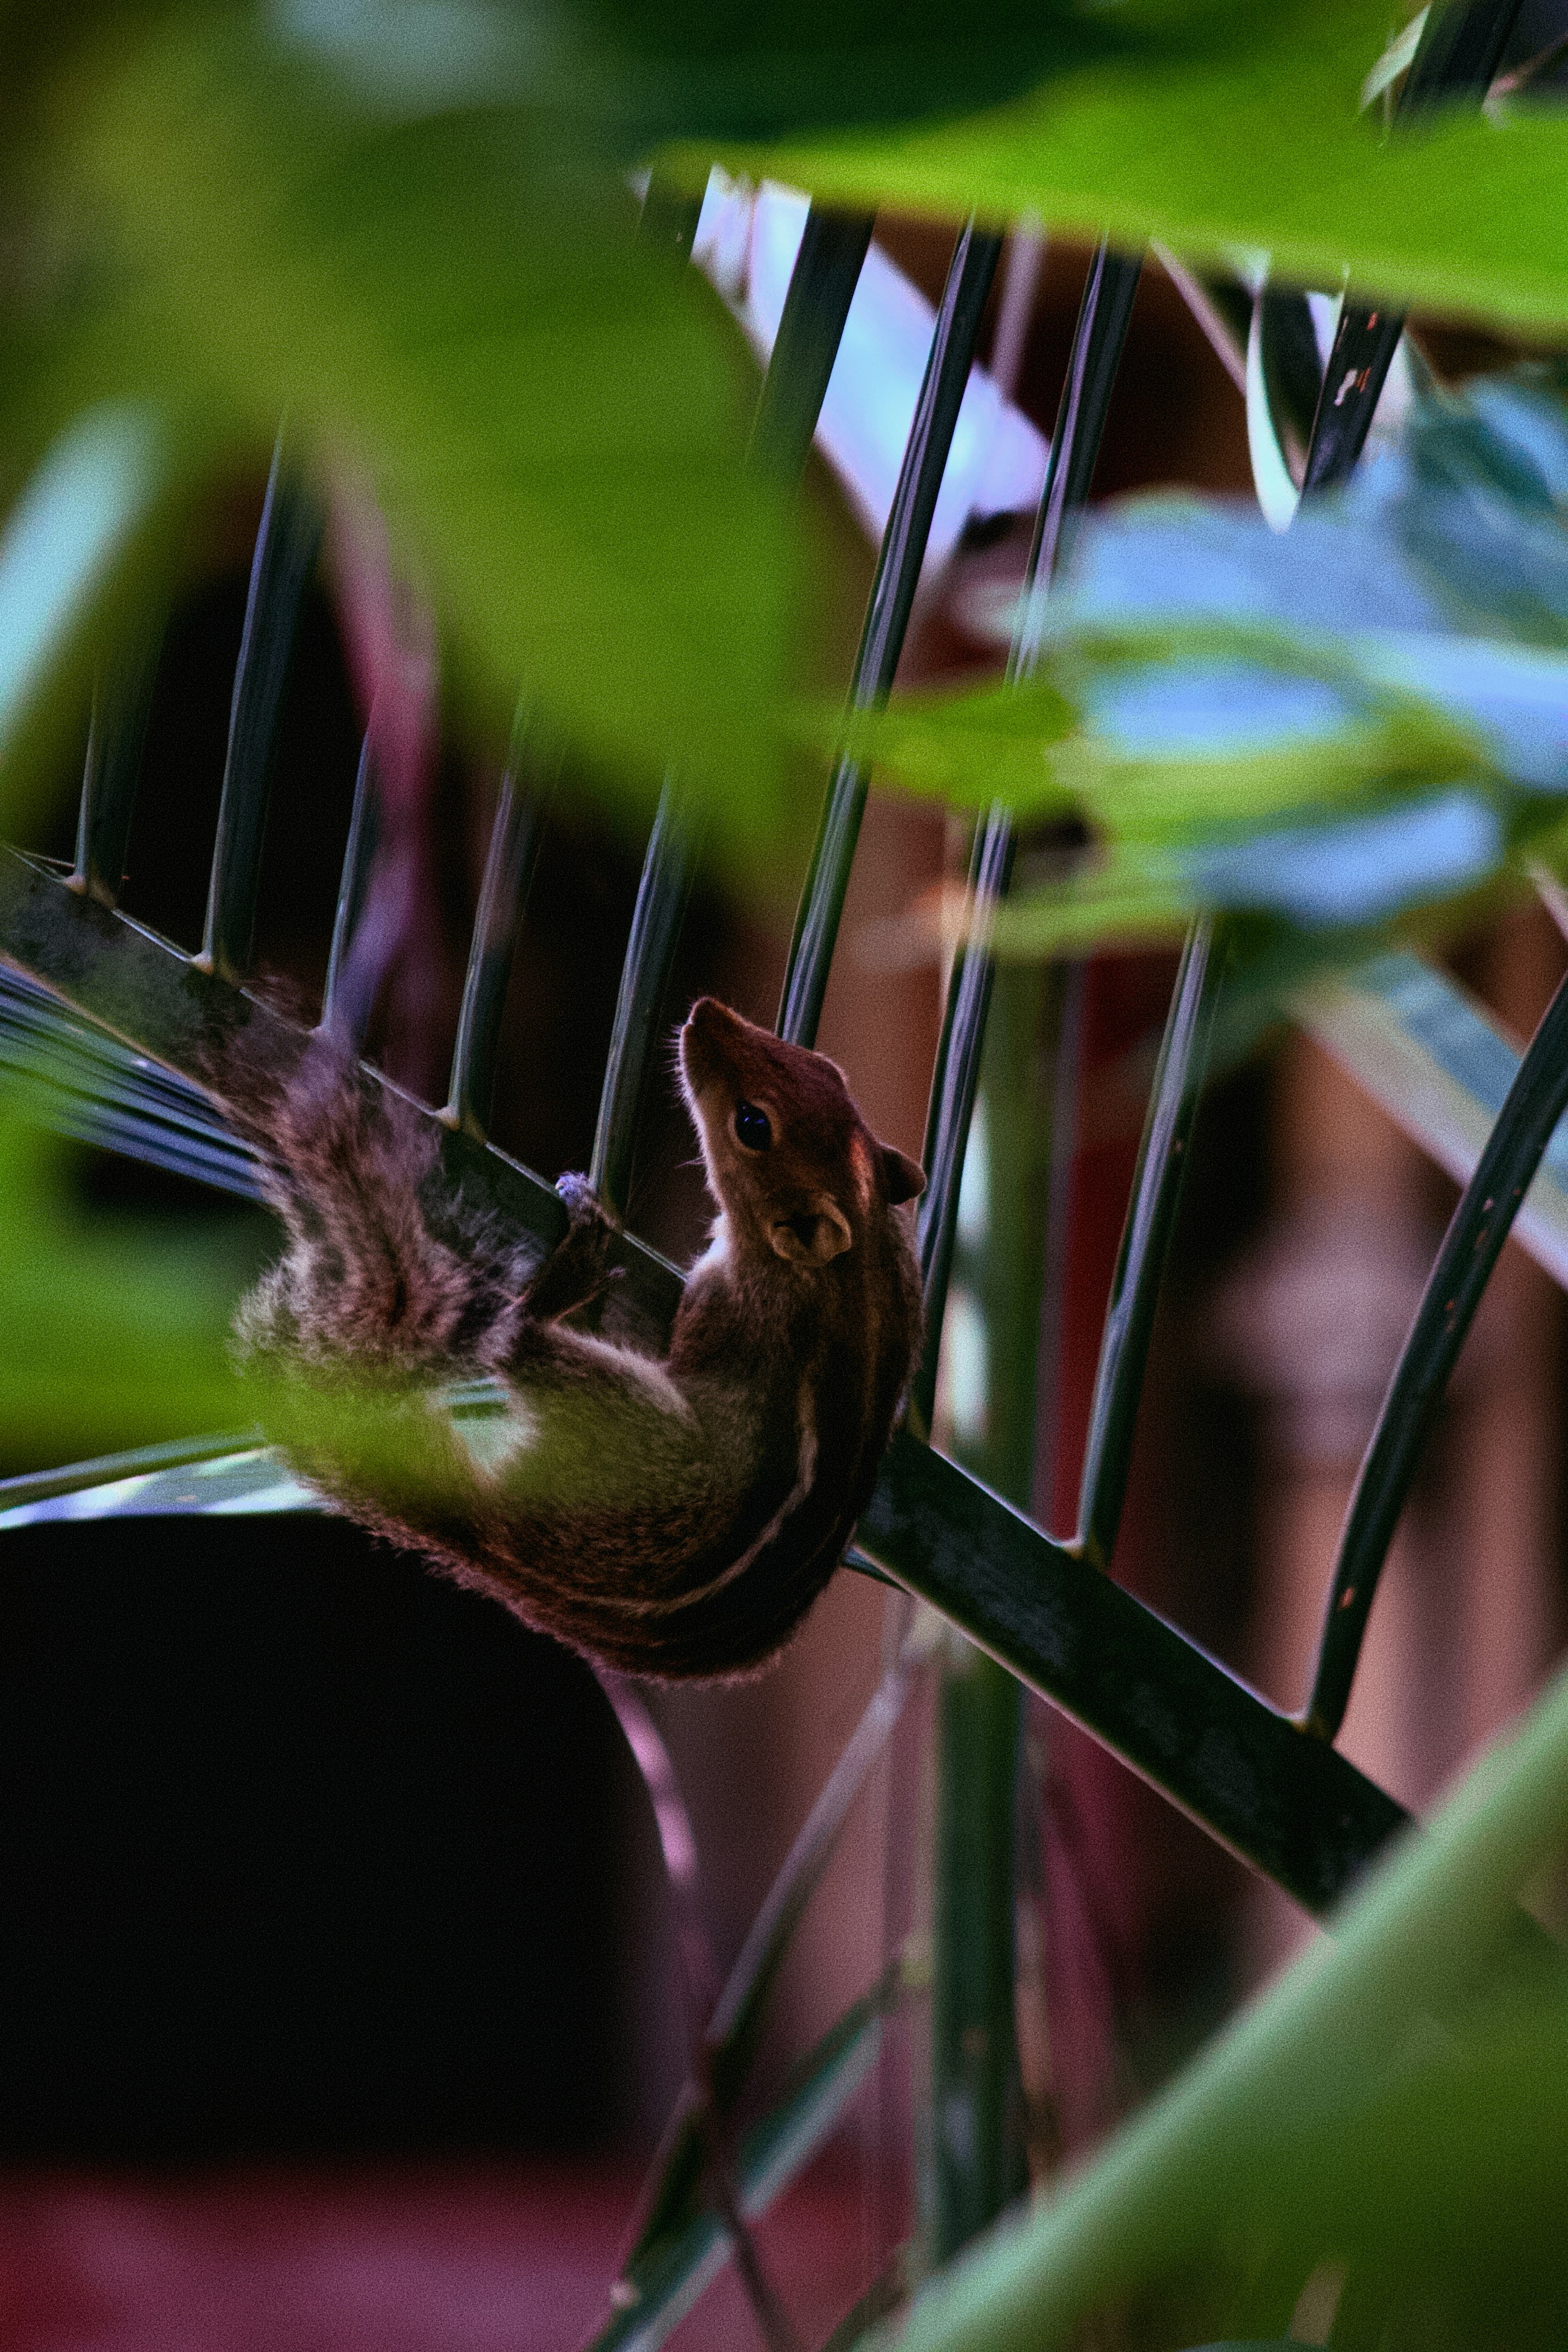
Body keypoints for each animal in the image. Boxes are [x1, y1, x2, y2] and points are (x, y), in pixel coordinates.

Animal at [210, 998, 925, 1679]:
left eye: (753, 1124)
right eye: (827, 1069)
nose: (704, 1012)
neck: (855, 1264)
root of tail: (497, 1549)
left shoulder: (724, 1304)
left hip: (630, 1426)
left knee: (519, 1348)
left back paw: (564, 1281)